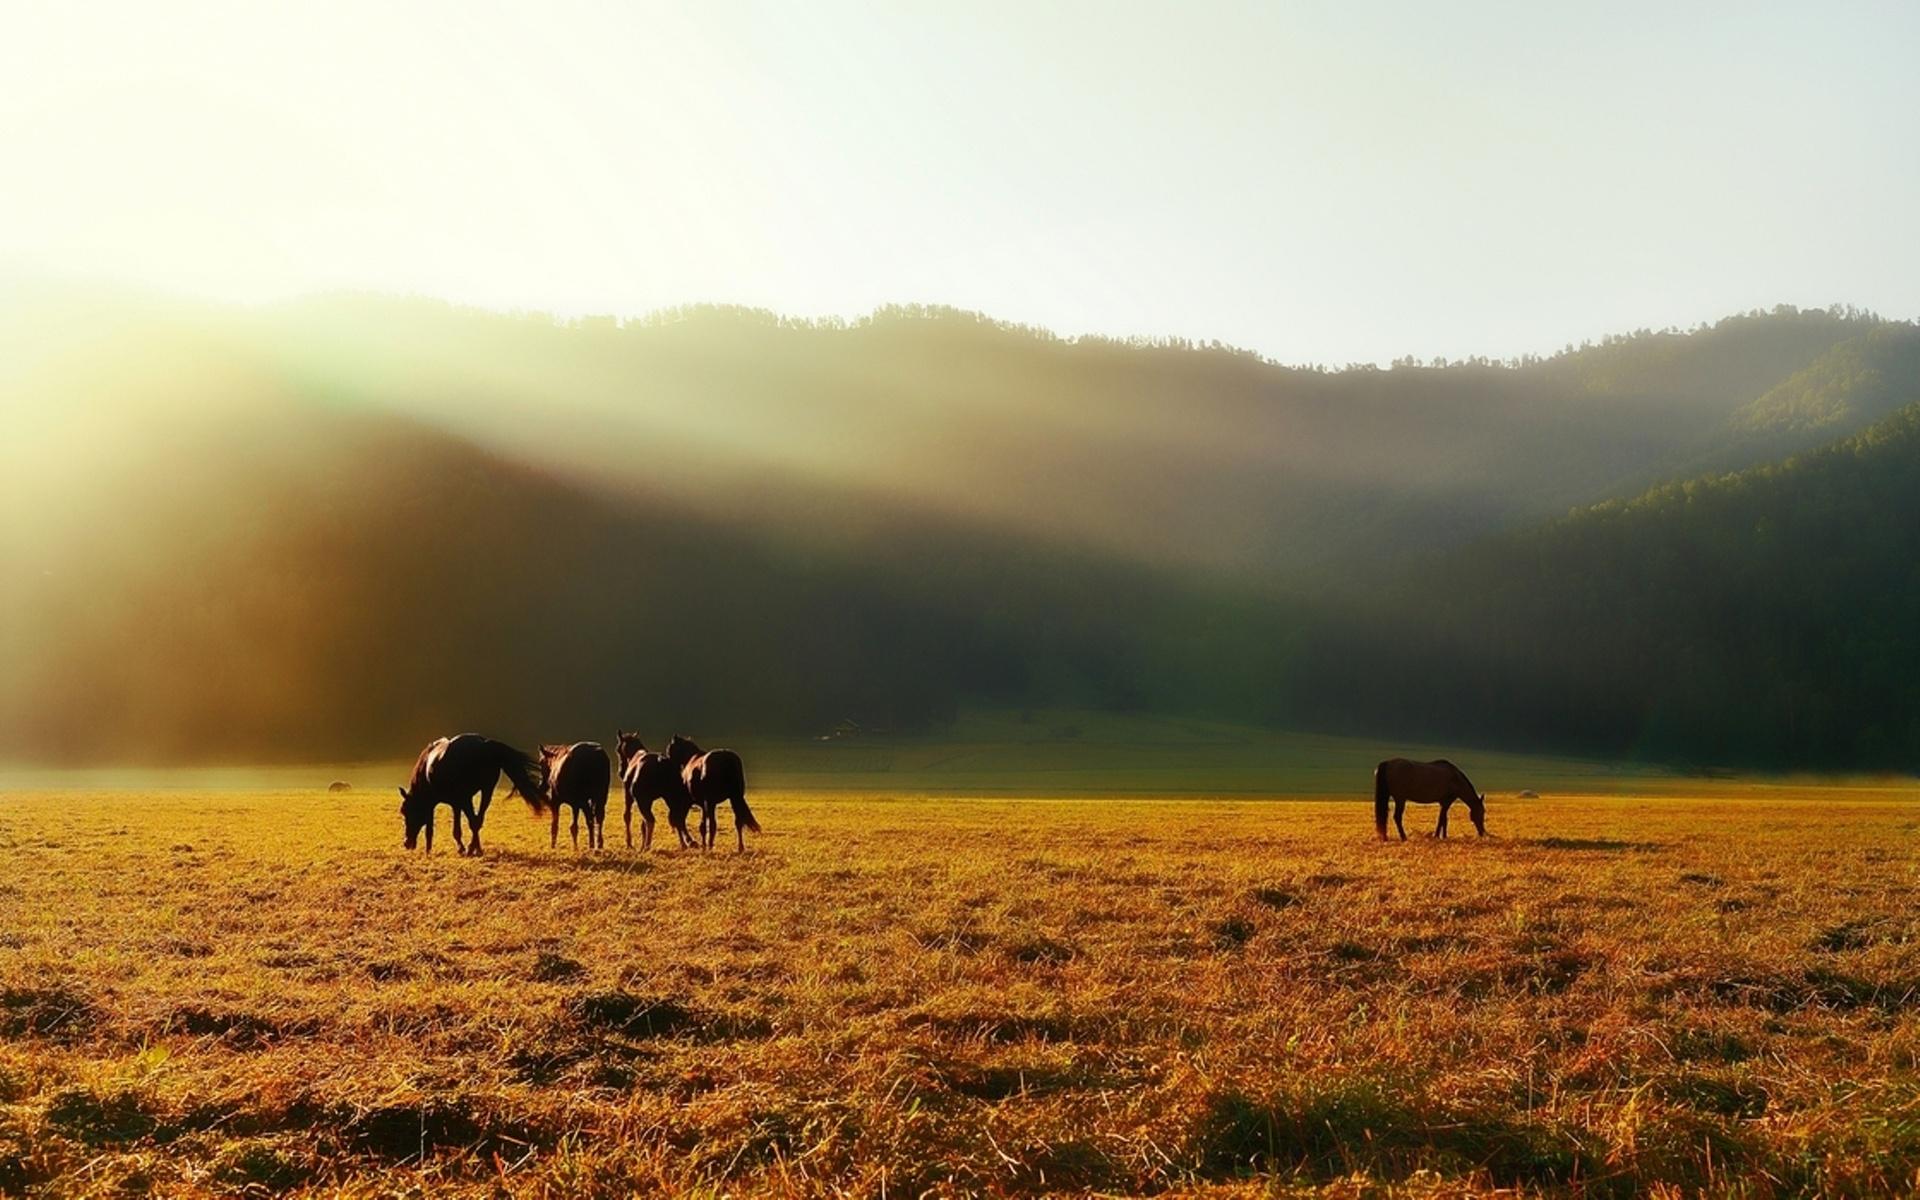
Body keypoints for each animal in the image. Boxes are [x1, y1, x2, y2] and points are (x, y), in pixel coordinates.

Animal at [398, 734, 547, 855]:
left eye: (406, 811)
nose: (406, 843)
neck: (425, 769)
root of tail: (485, 745)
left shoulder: (434, 804)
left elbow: (430, 829)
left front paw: (430, 851)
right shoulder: (455, 803)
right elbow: (456, 829)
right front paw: (461, 847)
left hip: (467, 797)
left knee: (474, 821)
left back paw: (472, 848)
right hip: (486, 791)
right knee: (477, 820)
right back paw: (476, 848)